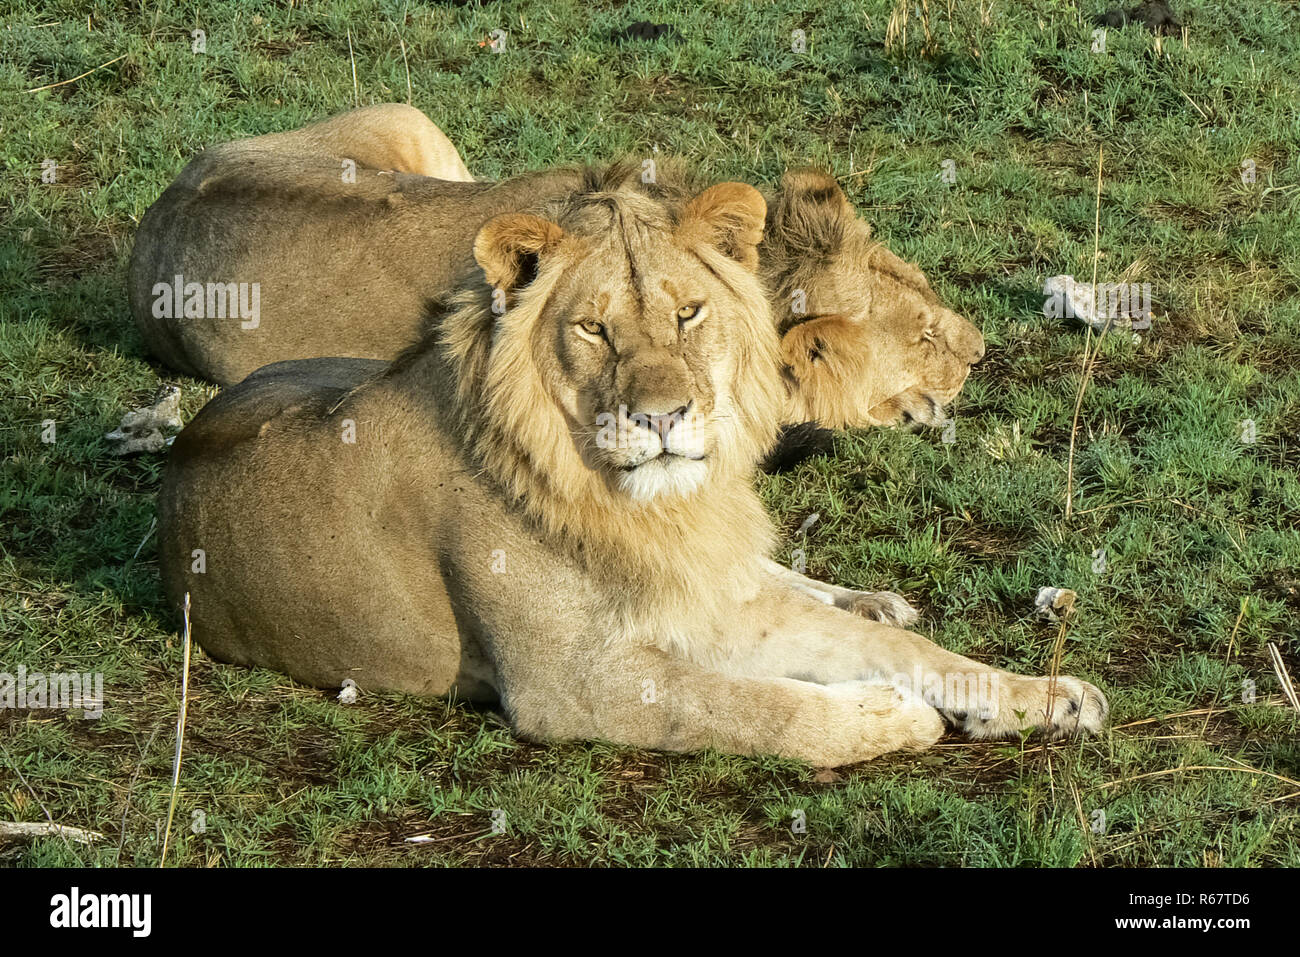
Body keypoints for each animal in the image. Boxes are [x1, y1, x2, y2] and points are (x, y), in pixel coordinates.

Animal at [157, 168, 1107, 767]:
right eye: (593, 328)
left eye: (689, 313)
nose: (661, 415)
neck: (641, 507)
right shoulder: (571, 684)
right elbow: (750, 706)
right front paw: (890, 713)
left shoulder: (704, 599)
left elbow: (889, 646)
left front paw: (1047, 696)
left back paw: (871, 593)